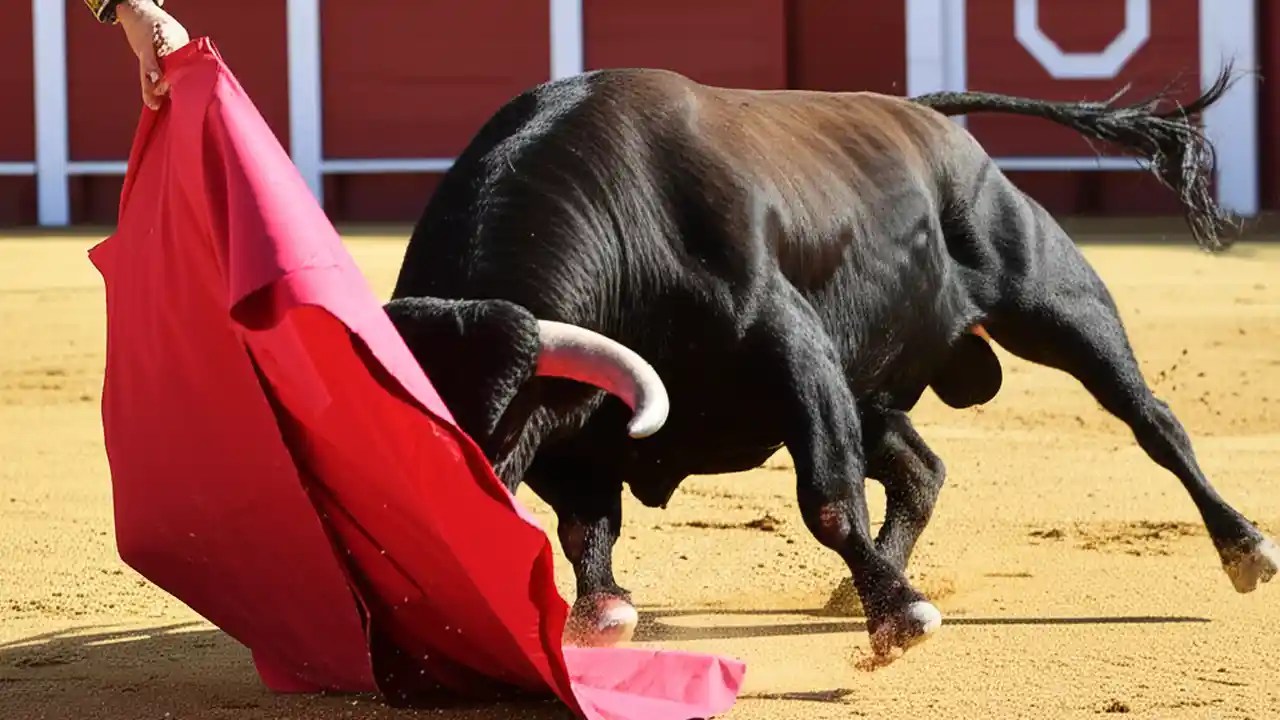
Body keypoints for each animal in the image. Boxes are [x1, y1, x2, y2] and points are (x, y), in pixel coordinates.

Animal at [383, 65, 1277, 657]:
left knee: (1150, 419)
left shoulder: (794, 353)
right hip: (874, 386)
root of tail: (924, 115)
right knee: (921, 469)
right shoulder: (580, 431)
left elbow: (827, 500)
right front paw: (601, 615)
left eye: (490, 431)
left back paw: (1245, 547)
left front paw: (902, 619)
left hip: (1052, 300)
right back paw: (865, 583)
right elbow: (585, 526)